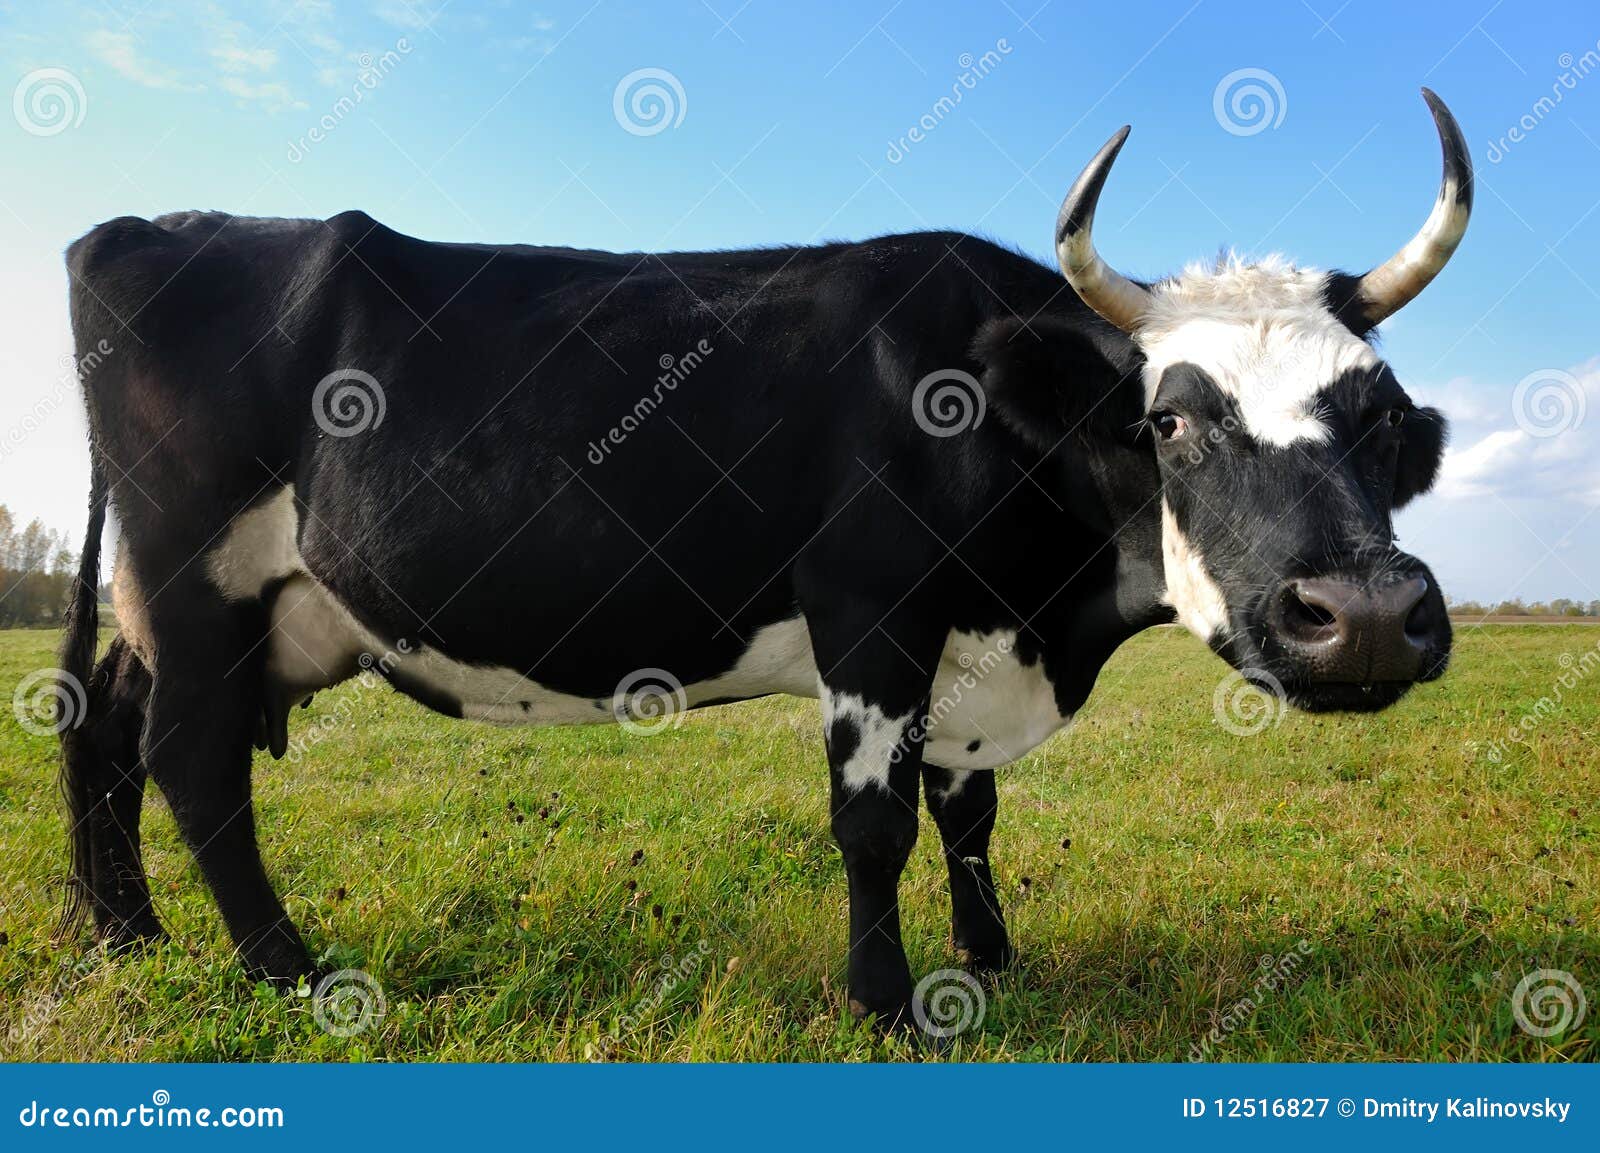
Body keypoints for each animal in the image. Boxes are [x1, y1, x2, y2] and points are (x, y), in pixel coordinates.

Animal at [56, 89, 1469, 1033]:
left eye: (1383, 413)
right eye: (1169, 419)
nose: (1363, 614)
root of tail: (141, 228)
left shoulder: (965, 647)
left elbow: (968, 811)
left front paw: (989, 956)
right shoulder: (870, 611)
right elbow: (874, 821)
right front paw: (884, 1002)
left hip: (212, 603)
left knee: (107, 723)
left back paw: (129, 934)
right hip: (194, 572)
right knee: (191, 759)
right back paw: (286, 968)